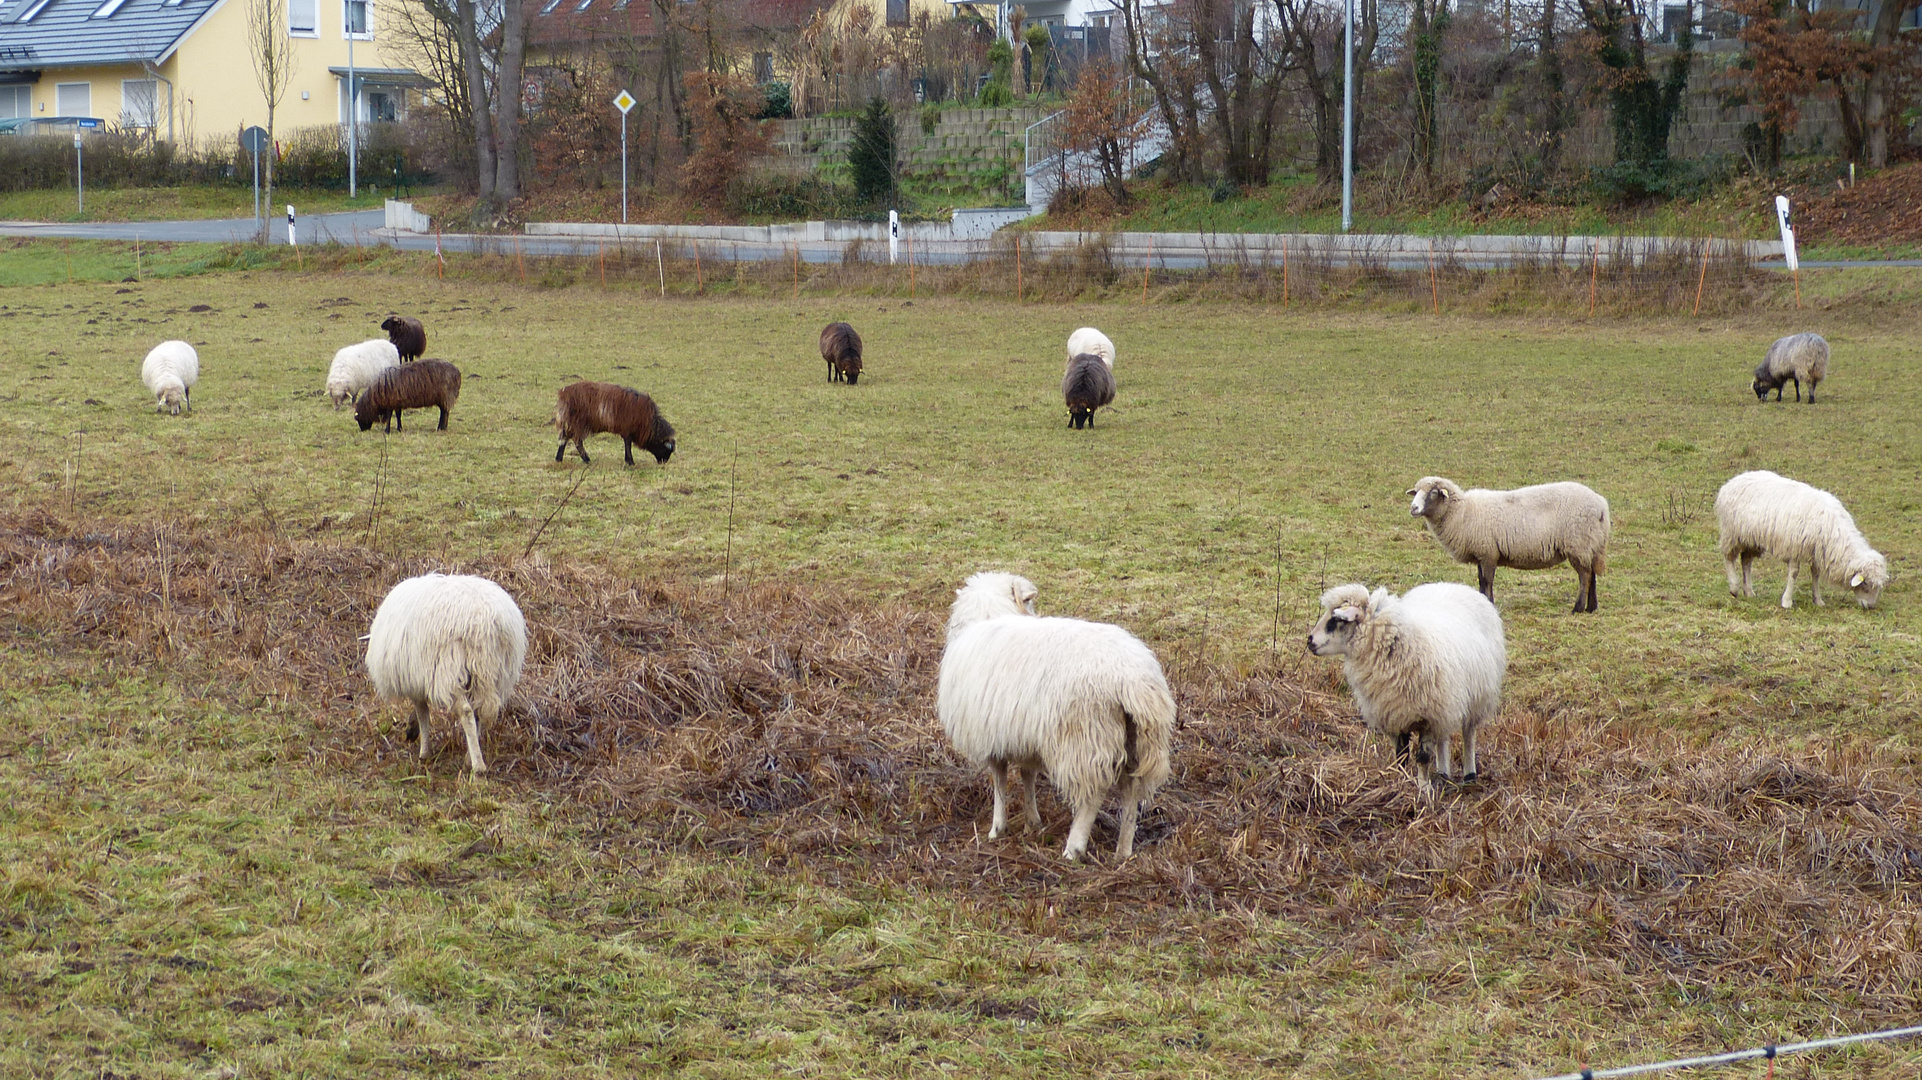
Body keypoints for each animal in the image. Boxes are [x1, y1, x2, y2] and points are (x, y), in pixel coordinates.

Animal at [365, 573, 527, 776]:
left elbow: (423, 712)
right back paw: (471, 757)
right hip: (495, 672)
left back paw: (478, 766)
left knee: (466, 712)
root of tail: (487, 622)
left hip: (450, 669)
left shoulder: (417, 677)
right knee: (480, 711)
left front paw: (424, 751)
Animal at [938, 571, 1176, 862]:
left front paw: (997, 828)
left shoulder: (991, 734)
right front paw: (1033, 821)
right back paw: (1123, 850)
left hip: (1085, 736)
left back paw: (1074, 848)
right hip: (1134, 740)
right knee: (1131, 791)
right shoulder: (1023, 735)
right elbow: (1027, 774)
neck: (988, 616)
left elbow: (999, 779)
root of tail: (1135, 681)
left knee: (1093, 794)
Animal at [1307, 581, 1506, 788]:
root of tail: (1451, 584)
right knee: (1443, 738)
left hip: (1476, 698)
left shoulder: (1429, 717)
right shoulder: (1395, 715)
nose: (1309, 641)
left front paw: (1423, 788)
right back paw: (1443, 773)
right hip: (1448, 702)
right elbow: (1401, 755)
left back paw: (1469, 775)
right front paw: (1400, 780)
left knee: (1469, 734)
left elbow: (1423, 757)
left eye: (1336, 620)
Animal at [1408, 476, 1612, 613]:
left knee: (1584, 576)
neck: (1462, 512)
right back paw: (1592, 607)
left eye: (1433, 493)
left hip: (1578, 543)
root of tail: (1601, 505)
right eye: (1416, 492)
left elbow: (1487, 581)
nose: (1413, 508)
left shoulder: (1488, 552)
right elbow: (1481, 580)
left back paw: (1578, 608)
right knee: (1592, 574)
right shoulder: (1481, 554)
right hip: (1591, 544)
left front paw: (1490, 603)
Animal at [1715, 469, 1888, 609]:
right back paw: (1734, 588)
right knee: (1728, 557)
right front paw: (1787, 601)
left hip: (1751, 538)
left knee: (1746, 560)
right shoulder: (1795, 548)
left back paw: (1749, 591)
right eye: (1865, 584)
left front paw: (1818, 600)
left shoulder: (1817, 551)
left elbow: (1815, 575)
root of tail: (1732, 481)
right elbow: (1793, 574)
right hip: (1732, 533)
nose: (1870, 606)